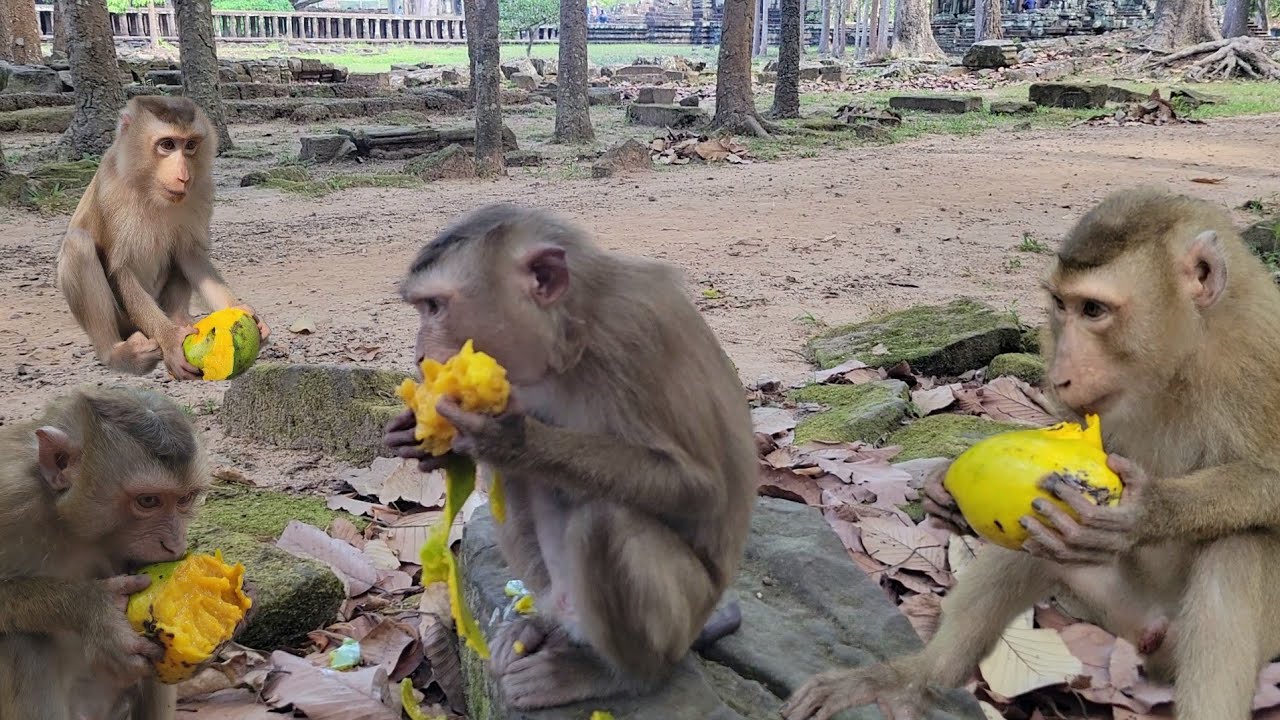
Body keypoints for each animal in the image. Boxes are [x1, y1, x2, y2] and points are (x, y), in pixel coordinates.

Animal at [0, 385, 211, 720]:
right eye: (148, 501)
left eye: (185, 499)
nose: (175, 544)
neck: (69, 526)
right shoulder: (10, 498)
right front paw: (94, 609)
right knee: (21, 640)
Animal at [55, 95, 269, 381]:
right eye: (167, 145)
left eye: (190, 145)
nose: (183, 175)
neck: (149, 188)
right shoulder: (111, 190)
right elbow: (119, 270)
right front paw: (169, 340)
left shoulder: (201, 189)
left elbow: (190, 254)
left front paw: (243, 311)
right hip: (126, 321)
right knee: (77, 244)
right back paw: (116, 354)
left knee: (177, 250)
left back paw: (179, 320)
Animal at [383, 203, 758, 710]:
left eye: (435, 307)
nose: (420, 356)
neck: (574, 333)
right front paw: (417, 438)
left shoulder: (636, 333)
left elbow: (701, 491)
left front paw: (513, 440)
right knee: (517, 486)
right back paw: (545, 624)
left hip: (683, 619)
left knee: (605, 520)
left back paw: (620, 674)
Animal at [782, 187, 1280, 720]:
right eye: (1062, 305)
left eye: (1094, 310)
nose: (1060, 373)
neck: (1178, 358)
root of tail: (1148, 637)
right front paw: (942, 492)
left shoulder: (1260, 359)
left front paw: (1144, 511)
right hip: (1108, 603)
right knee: (1028, 545)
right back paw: (917, 678)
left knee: (1241, 545)